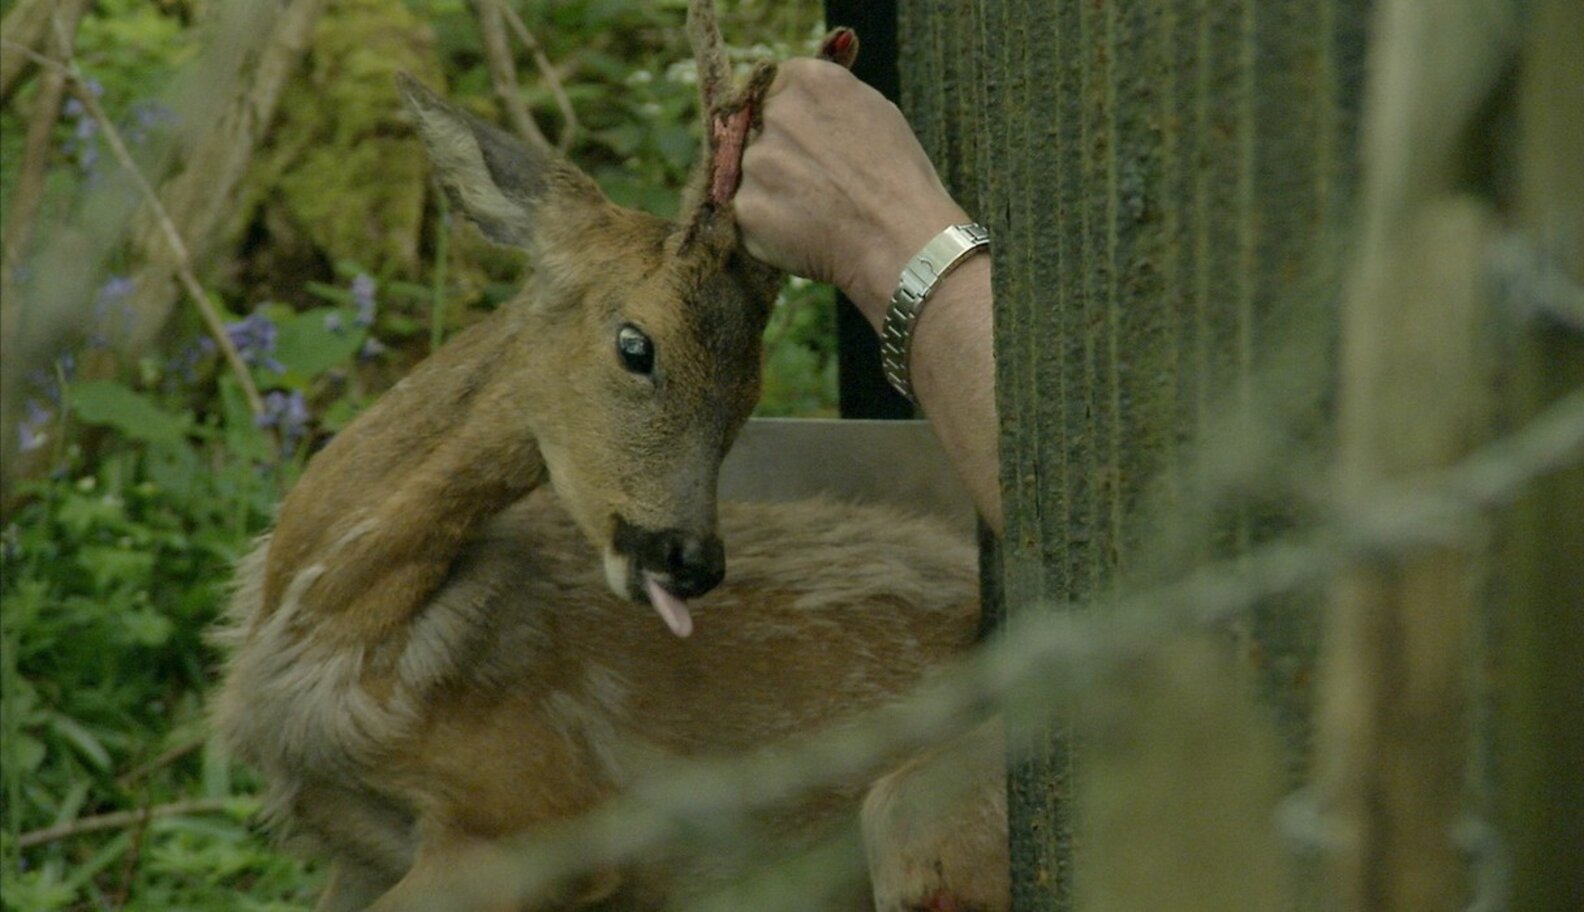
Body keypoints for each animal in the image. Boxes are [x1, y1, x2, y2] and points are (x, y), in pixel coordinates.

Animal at [213, 3, 1007, 910]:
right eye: (636, 344)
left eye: (748, 389)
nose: (688, 558)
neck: (351, 639)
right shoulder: (354, 849)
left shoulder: (533, 823)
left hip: (925, 815)